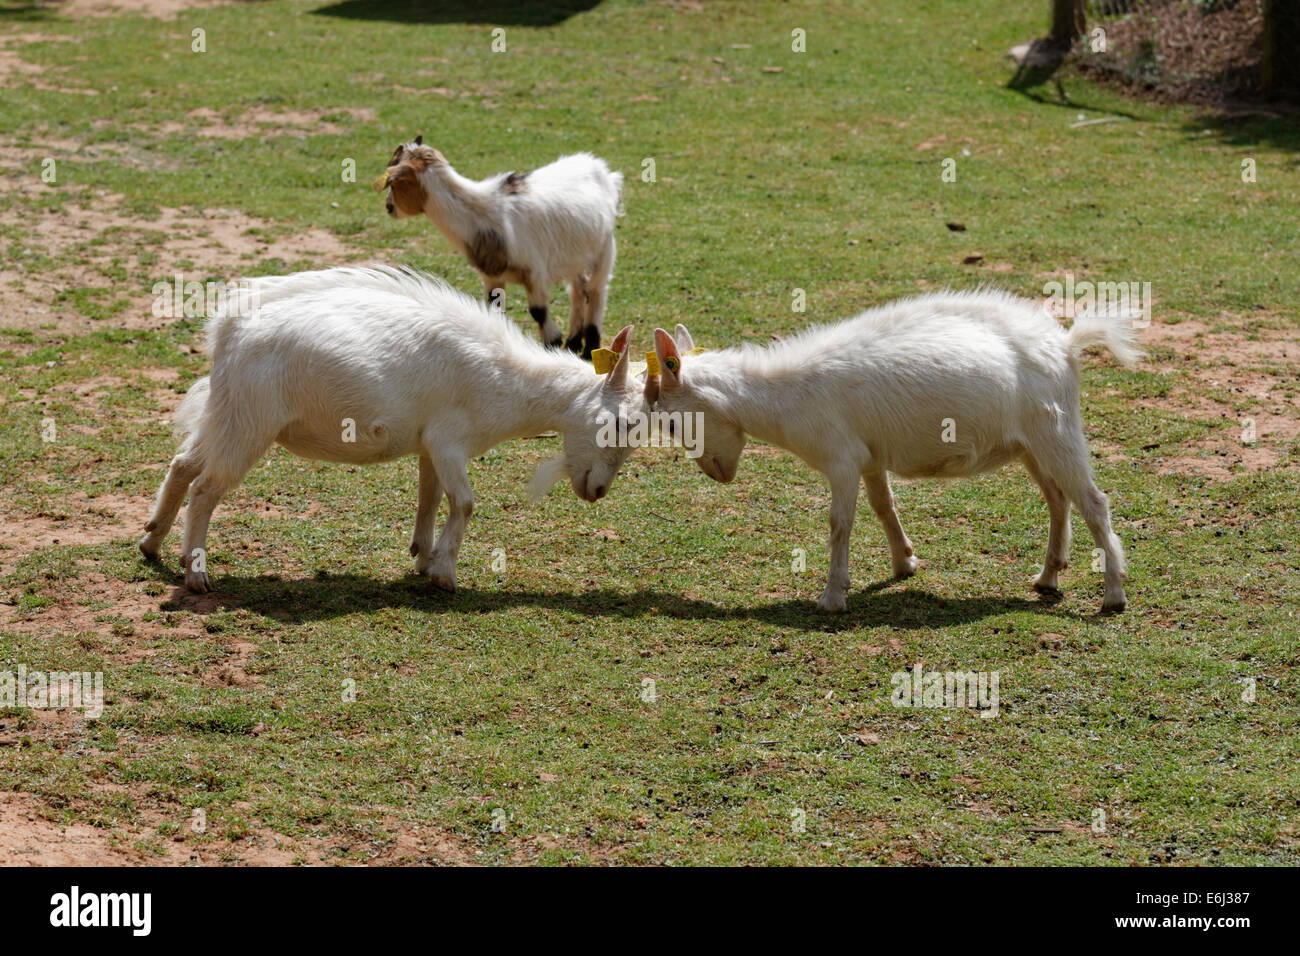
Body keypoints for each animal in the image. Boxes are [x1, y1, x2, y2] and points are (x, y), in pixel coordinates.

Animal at [139, 266, 644, 593]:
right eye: (621, 423)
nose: (598, 491)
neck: (509, 378)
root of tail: (227, 331)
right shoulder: (449, 441)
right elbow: (465, 503)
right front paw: (444, 574)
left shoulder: (429, 447)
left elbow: (431, 499)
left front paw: (422, 556)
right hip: (248, 425)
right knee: (205, 488)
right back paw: (196, 573)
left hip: (226, 415)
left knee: (182, 465)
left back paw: (151, 543)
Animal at [376, 137, 622, 360]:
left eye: (395, 183)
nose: (388, 207)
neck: (483, 214)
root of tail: (599, 167)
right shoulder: (491, 276)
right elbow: (495, 310)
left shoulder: (534, 272)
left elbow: (538, 312)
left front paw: (552, 342)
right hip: (576, 255)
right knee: (578, 291)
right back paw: (573, 342)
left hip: (605, 247)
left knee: (597, 291)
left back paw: (590, 348)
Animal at [644, 290, 1142, 614]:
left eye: (670, 422)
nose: (717, 474)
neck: (787, 394)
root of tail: (1066, 345)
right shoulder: (869, 458)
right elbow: (883, 506)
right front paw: (904, 563)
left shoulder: (841, 460)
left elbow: (839, 523)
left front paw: (832, 598)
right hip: (1030, 445)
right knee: (1058, 499)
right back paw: (1048, 577)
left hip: (1056, 431)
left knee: (1093, 502)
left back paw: (1113, 595)